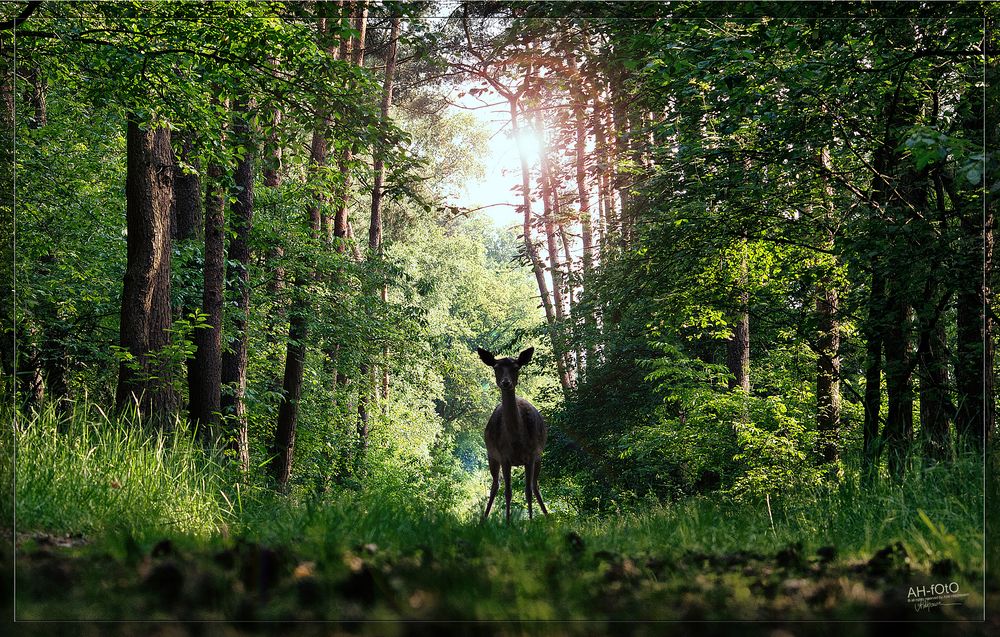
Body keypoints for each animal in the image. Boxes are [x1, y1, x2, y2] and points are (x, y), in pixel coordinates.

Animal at [477, 346, 548, 523]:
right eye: (496, 367)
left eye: (516, 367)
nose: (506, 382)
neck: (516, 441)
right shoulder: (504, 457)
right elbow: (508, 492)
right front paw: (508, 523)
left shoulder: (531, 455)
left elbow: (527, 490)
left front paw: (531, 522)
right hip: (491, 456)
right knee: (495, 485)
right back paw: (483, 519)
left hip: (539, 457)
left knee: (535, 485)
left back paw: (547, 515)